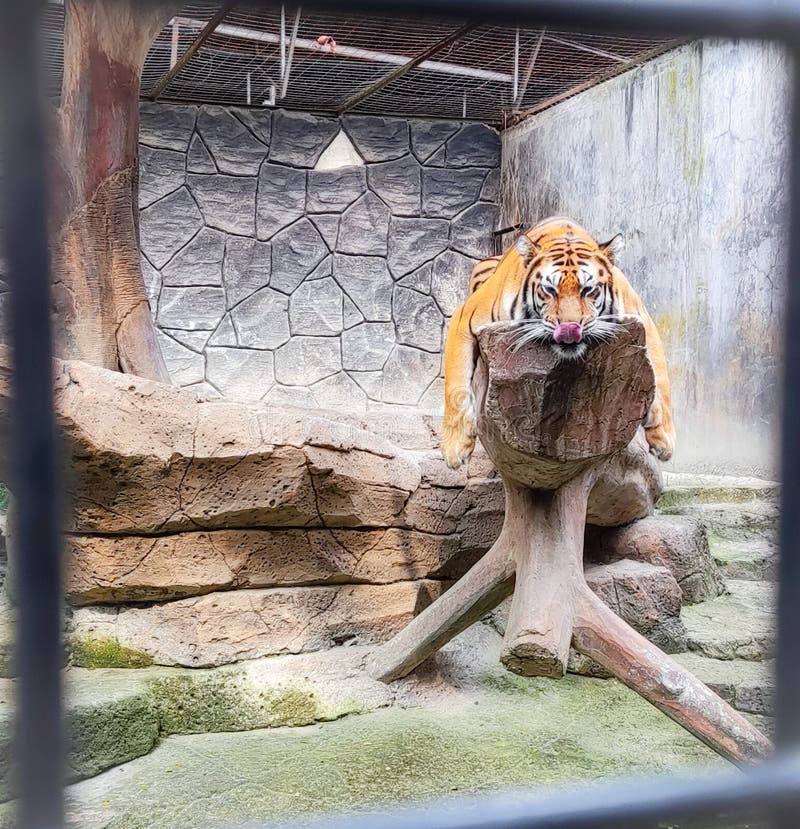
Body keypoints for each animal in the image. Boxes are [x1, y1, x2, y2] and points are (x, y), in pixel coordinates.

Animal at [441, 216, 675, 469]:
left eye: (588, 289)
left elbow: (662, 378)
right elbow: (455, 383)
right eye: (549, 289)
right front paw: (454, 448)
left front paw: (664, 440)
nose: (570, 328)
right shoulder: (464, 316)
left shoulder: (644, 319)